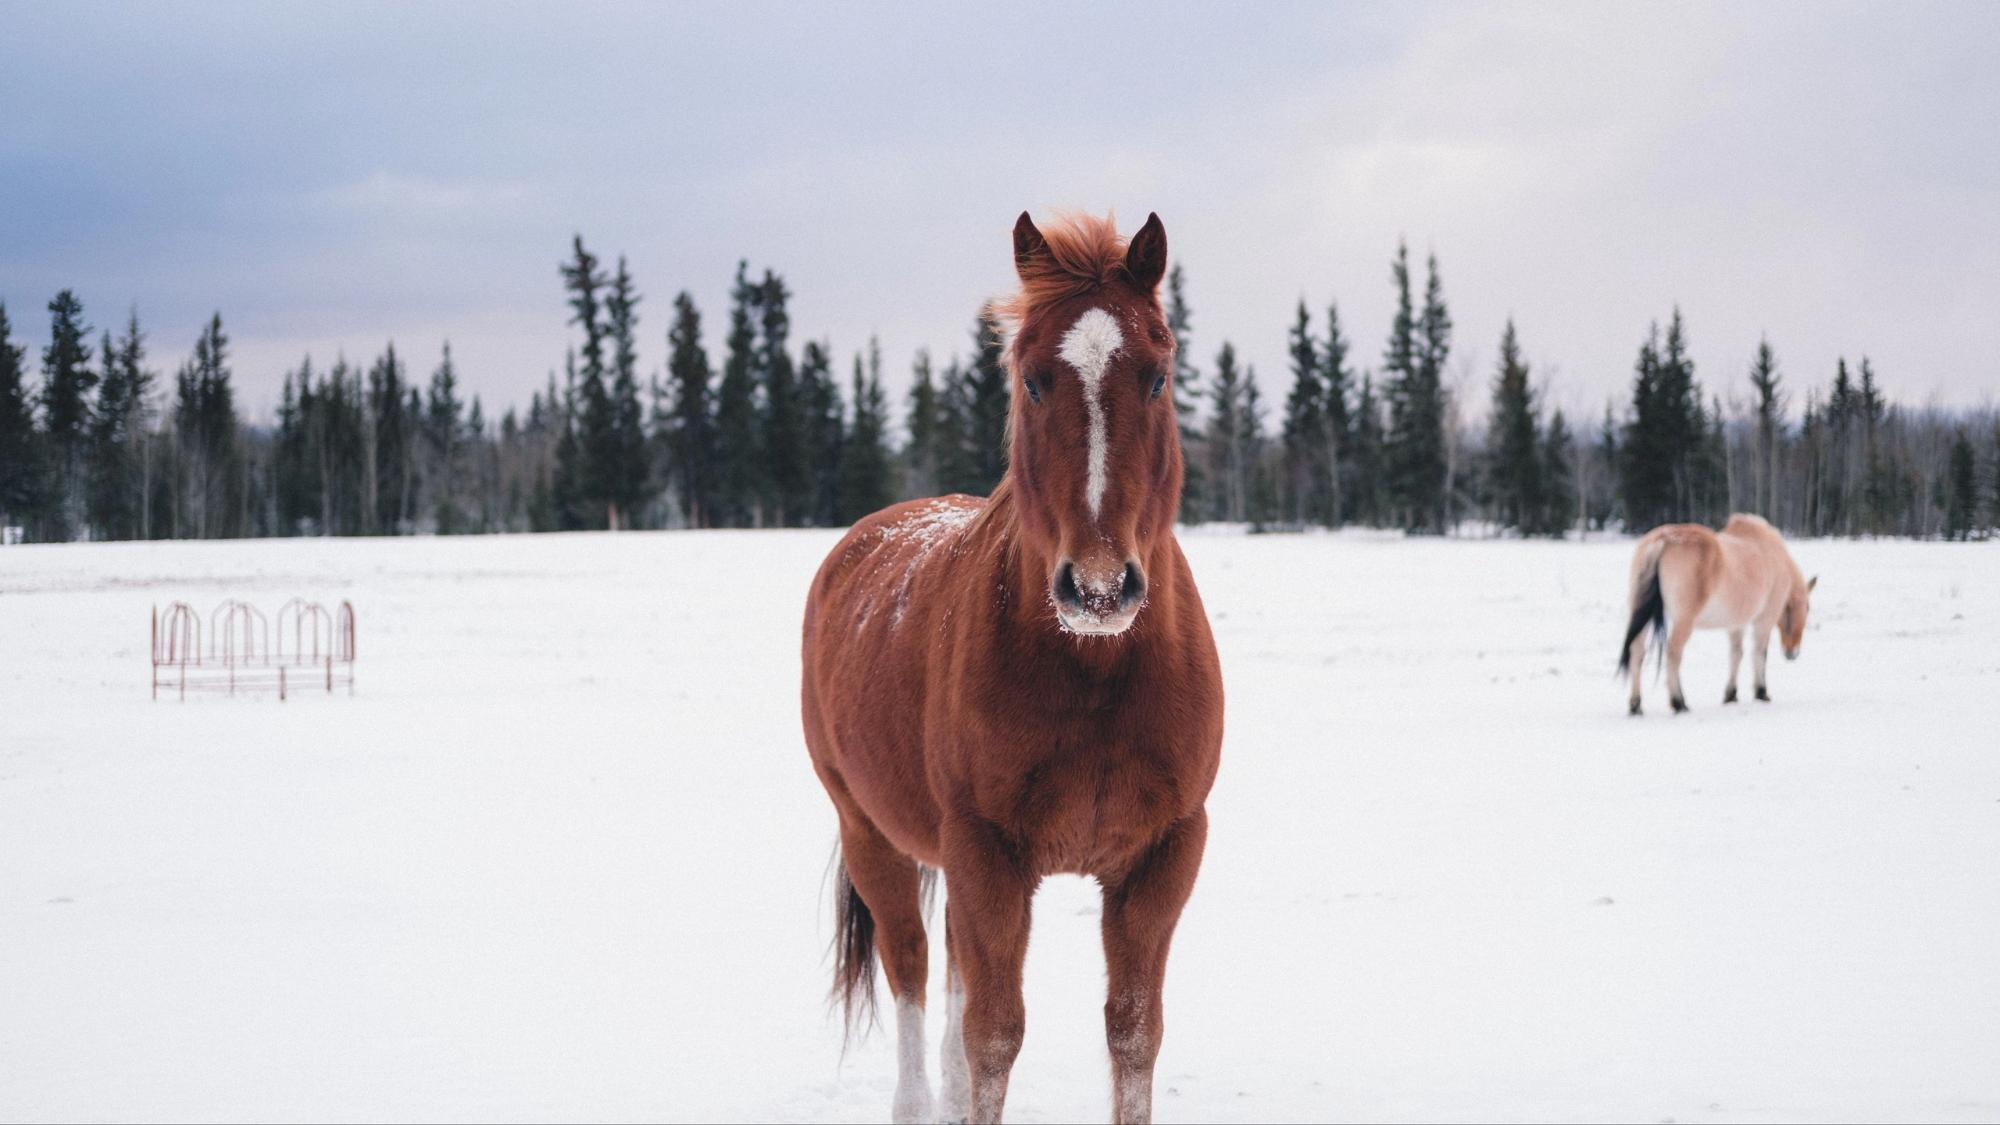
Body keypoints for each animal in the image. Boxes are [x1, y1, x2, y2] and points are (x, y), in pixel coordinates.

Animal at [804, 212, 1224, 1120]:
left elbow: (1132, 1035)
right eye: (1031, 379)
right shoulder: (986, 854)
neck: (1095, 672)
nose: (1098, 586)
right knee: (916, 976)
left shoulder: (1163, 856)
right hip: (873, 835)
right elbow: (994, 1037)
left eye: (1159, 375)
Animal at [1624, 508, 1816, 708]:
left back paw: (1636, 705)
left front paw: (1731, 694)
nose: (1792, 653)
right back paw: (1679, 702)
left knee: (1636, 651)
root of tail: (1664, 539)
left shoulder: (1736, 624)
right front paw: (1761, 692)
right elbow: (1759, 653)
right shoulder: (1764, 620)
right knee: (1673, 653)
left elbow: (1736, 654)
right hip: (1683, 621)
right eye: (1805, 608)